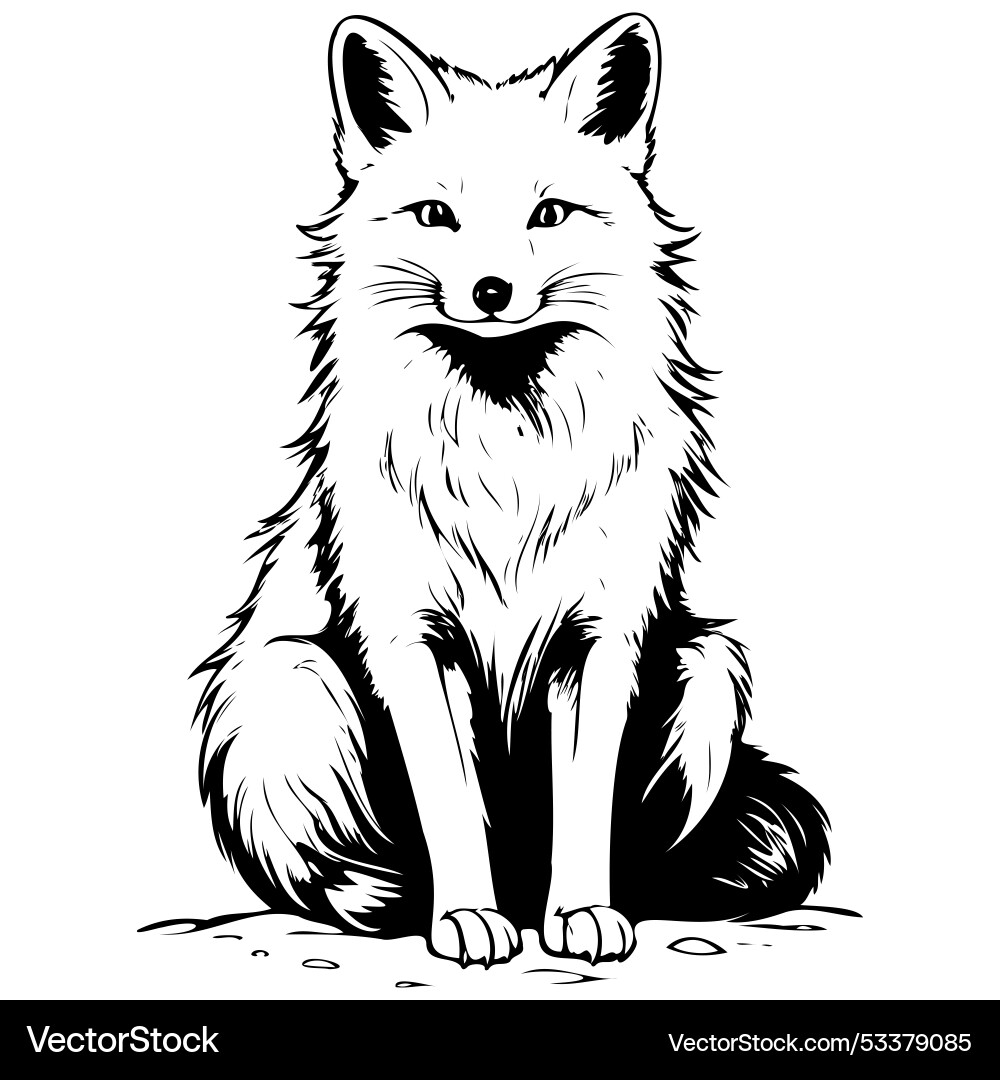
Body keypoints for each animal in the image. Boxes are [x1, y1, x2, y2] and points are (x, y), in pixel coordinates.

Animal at [195, 12, 830, 967]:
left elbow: (585, 806)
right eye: (437, 216)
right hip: (291, 686)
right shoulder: (415, 642)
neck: (507, 466)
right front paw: (465, 915)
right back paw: (413, 904)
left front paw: (583, 913)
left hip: (708, 669)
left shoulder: (601, 640)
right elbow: (454, 806)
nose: (491, 290)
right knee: (339, 877)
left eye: (548, 214)